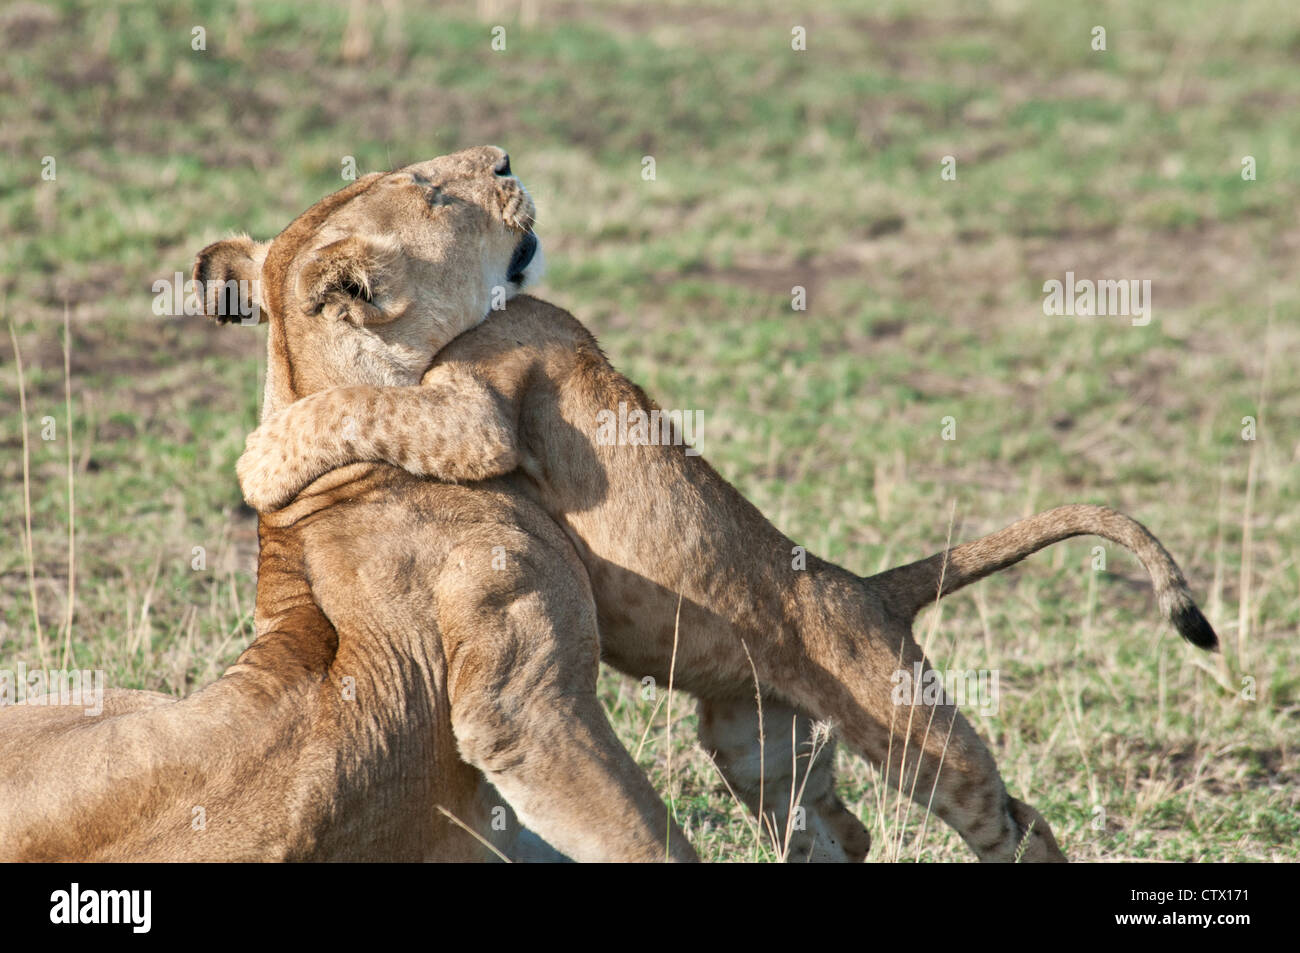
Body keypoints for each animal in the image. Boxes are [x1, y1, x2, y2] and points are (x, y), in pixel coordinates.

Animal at [223, 149, 1218, 863]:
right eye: (434, 189)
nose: (505, 159)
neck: (496, 308)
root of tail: (869, 585)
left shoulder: (477, 410)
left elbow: (357, 406)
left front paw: (262, 461)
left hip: (910, 731)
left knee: (1010, 818)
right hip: (758, 747)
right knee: (840, 829)